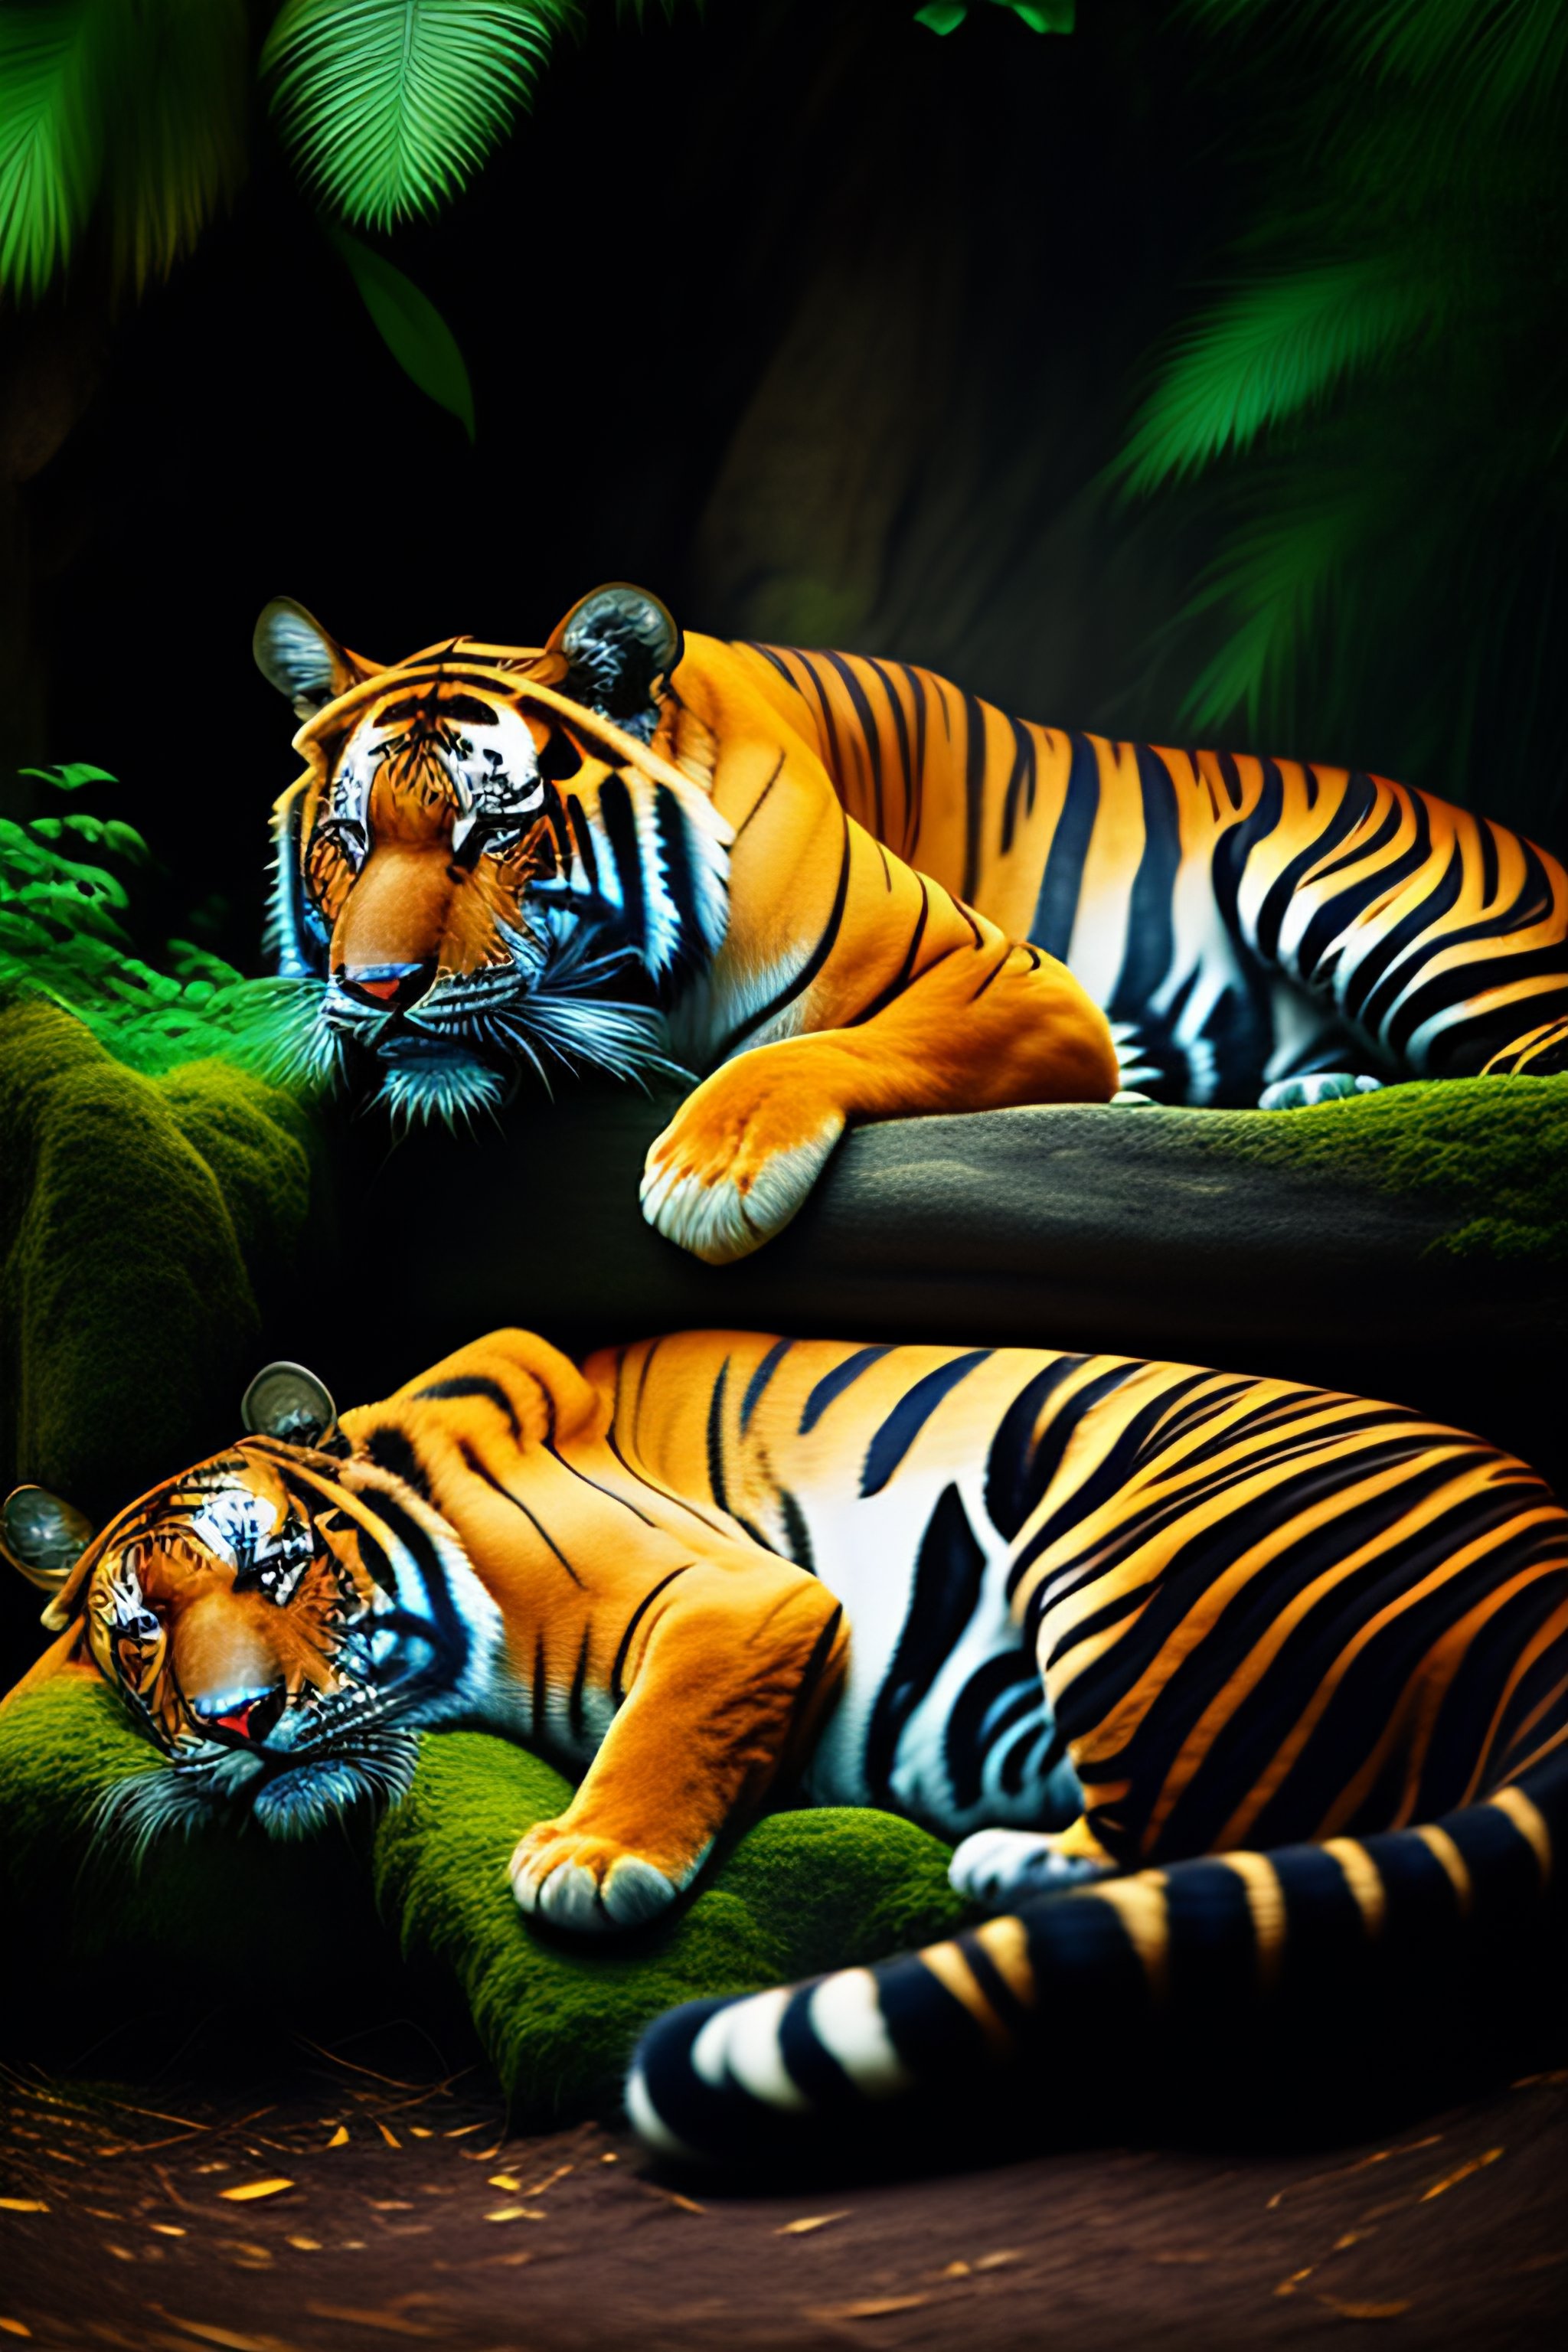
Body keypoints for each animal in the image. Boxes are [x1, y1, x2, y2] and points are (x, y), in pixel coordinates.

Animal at [4, 1325, 1563, 2160]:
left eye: (275, 1569)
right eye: (141, 1633)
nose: (237, 1723)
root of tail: (1540, 1547)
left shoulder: (738, 1594)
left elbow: (664, 1727)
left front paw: (591, 1860)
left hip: (1127, 1546)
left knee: (1210, 1839)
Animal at [252, 584, 1568, 1262]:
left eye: (493, 831)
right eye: (348, 839)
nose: (375, 992)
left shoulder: (1015, 982)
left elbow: (807, 1049)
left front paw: (709, 1171)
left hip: (1355, 890)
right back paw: (1320, 1090)